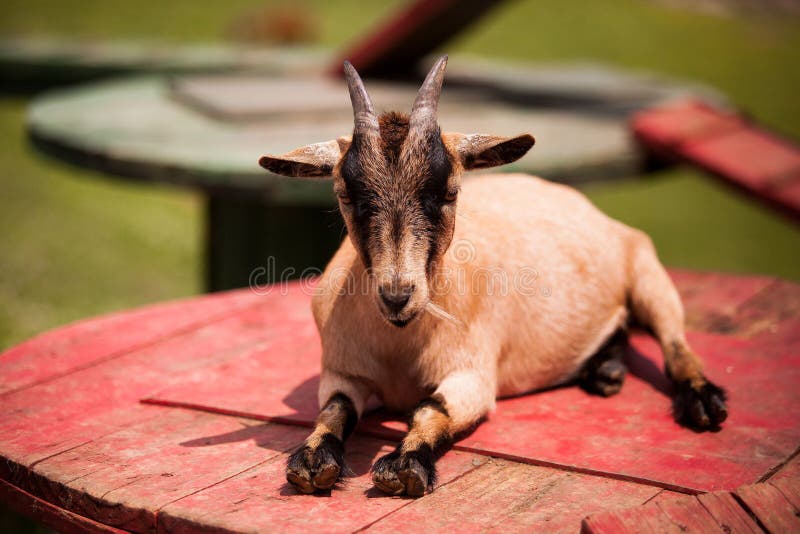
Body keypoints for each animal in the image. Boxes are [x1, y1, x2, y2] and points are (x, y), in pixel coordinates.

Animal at [259, 56, 728, 497]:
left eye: (448, 191)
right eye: (346, 194)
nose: (397, 296)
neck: (400, 347)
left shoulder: (473, 374)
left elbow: (432, 409)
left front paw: (404, 467)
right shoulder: (343, 371)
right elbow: (333, 410)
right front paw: (312, 461)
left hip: (647, 272)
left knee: (674, 341)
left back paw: (702, 401)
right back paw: (606, 370)